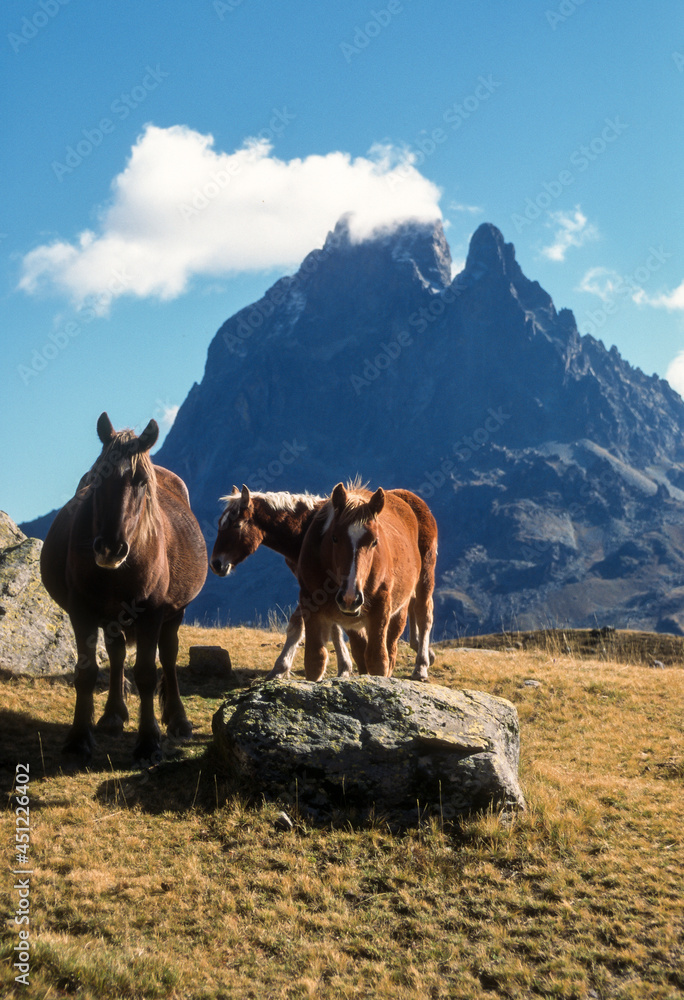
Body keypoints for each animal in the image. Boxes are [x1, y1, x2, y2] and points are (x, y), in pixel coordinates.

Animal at [40, 412, 207, 763]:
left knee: (168, 656)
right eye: (96, 479)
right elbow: (87, 673)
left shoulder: (151, 613)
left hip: (174, 614)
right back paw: (113, 715)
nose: (110, 548)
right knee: (116, 654)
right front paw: (79, 738)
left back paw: (178, 720)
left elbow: (146, 674)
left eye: (141, 482)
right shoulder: (82, 612)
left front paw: (148, 742)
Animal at [210, 486, 355, 679]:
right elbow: (324, 626)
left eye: (237, 525)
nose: (216, 564)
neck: (307, 531)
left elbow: (303, 625)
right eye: (220, 523)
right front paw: (344, 667)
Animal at [297, 483, 437, 681]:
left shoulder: (381, 608)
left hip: (425, 577)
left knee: (423, 615)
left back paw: (421, 667)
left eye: (374, 541)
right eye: (334, 537)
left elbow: (378, 661)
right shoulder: (310, 606)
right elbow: (315, 661)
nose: (350, 597)